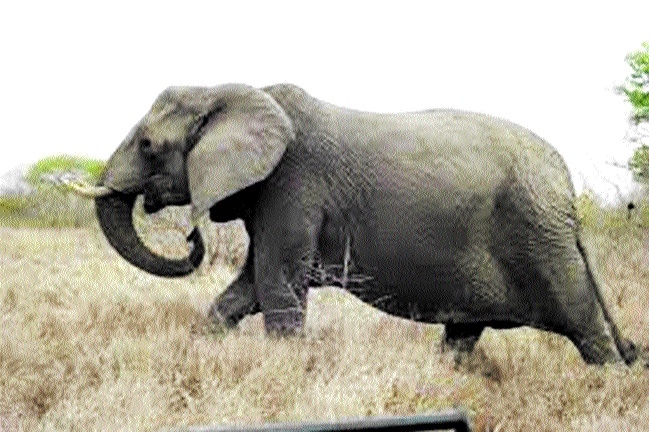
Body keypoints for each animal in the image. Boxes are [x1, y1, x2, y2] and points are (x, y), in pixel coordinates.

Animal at [80, 83, 638, 365]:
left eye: (148, 145)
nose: (190, 234)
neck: (230, 90)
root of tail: (566, 189)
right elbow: (250, 288)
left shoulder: (292, 186)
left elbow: (277, 285)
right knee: (462, 334)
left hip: (538, 233)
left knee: (585, 326)